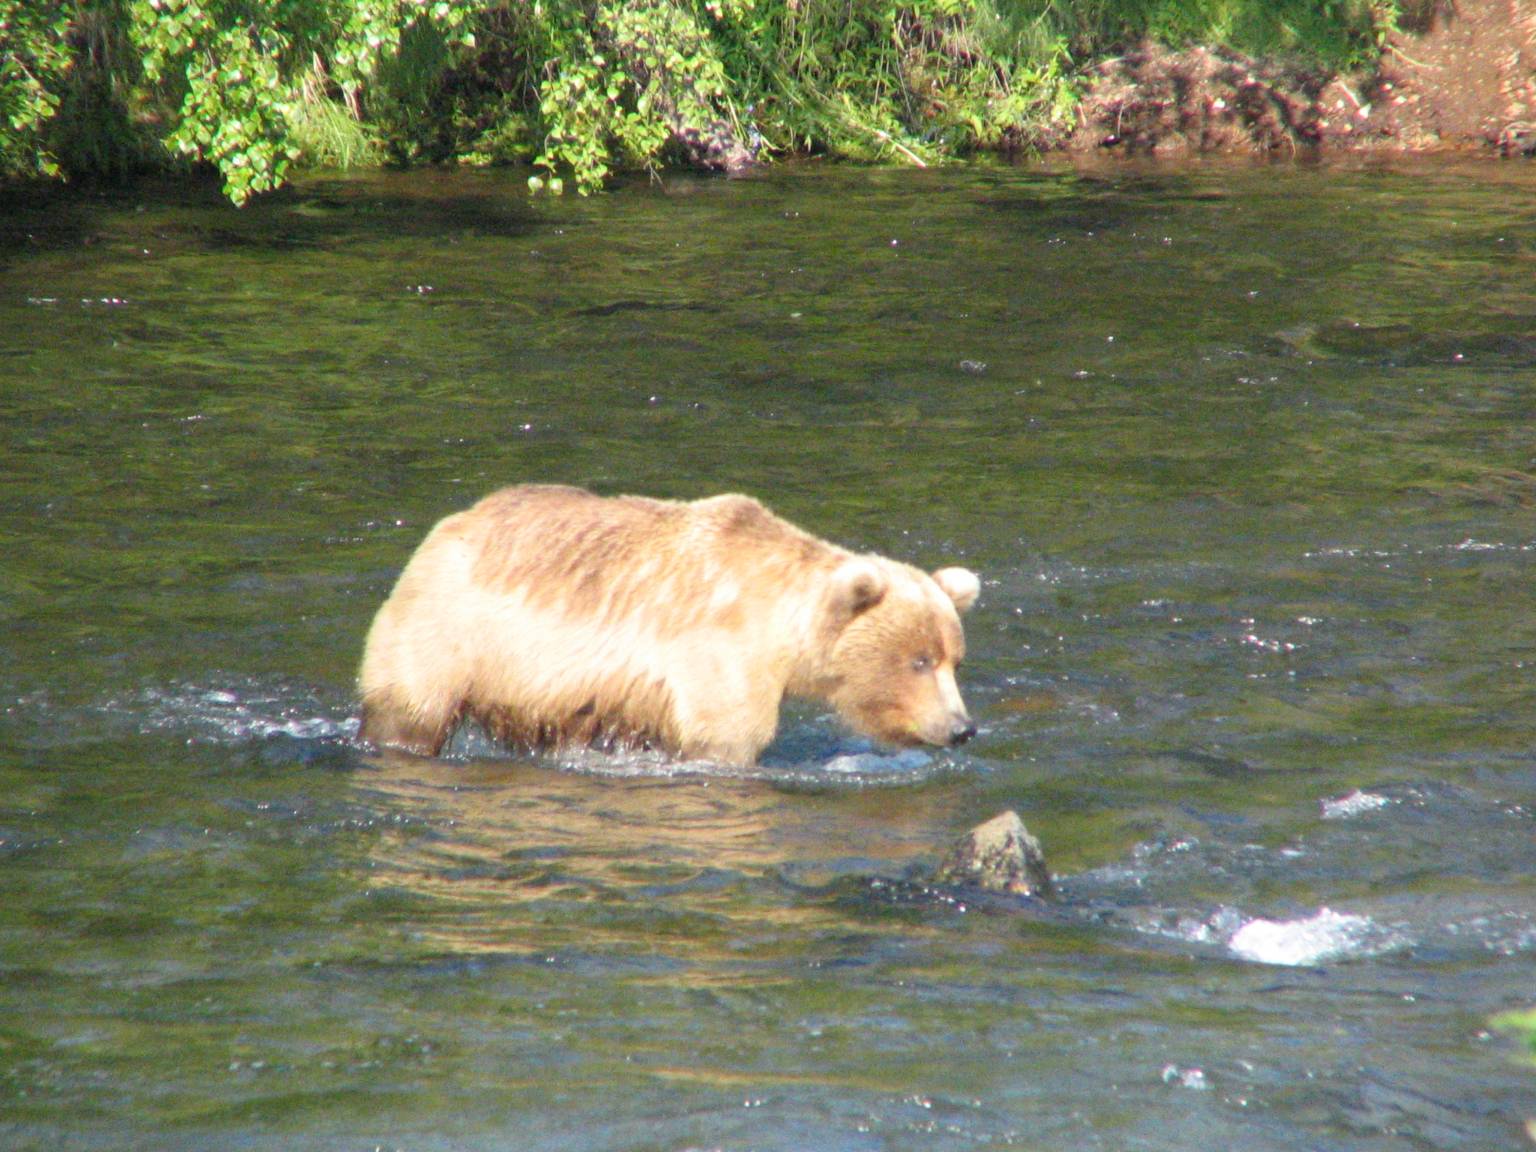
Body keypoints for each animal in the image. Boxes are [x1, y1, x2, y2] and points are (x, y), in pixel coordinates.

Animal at [357, 484, 980, 767]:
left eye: (954, 659)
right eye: (918, 660)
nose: (961, 727)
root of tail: (448, 523)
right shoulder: (720, 656)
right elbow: (727, 738)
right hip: (449, 628)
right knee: (410, 708)